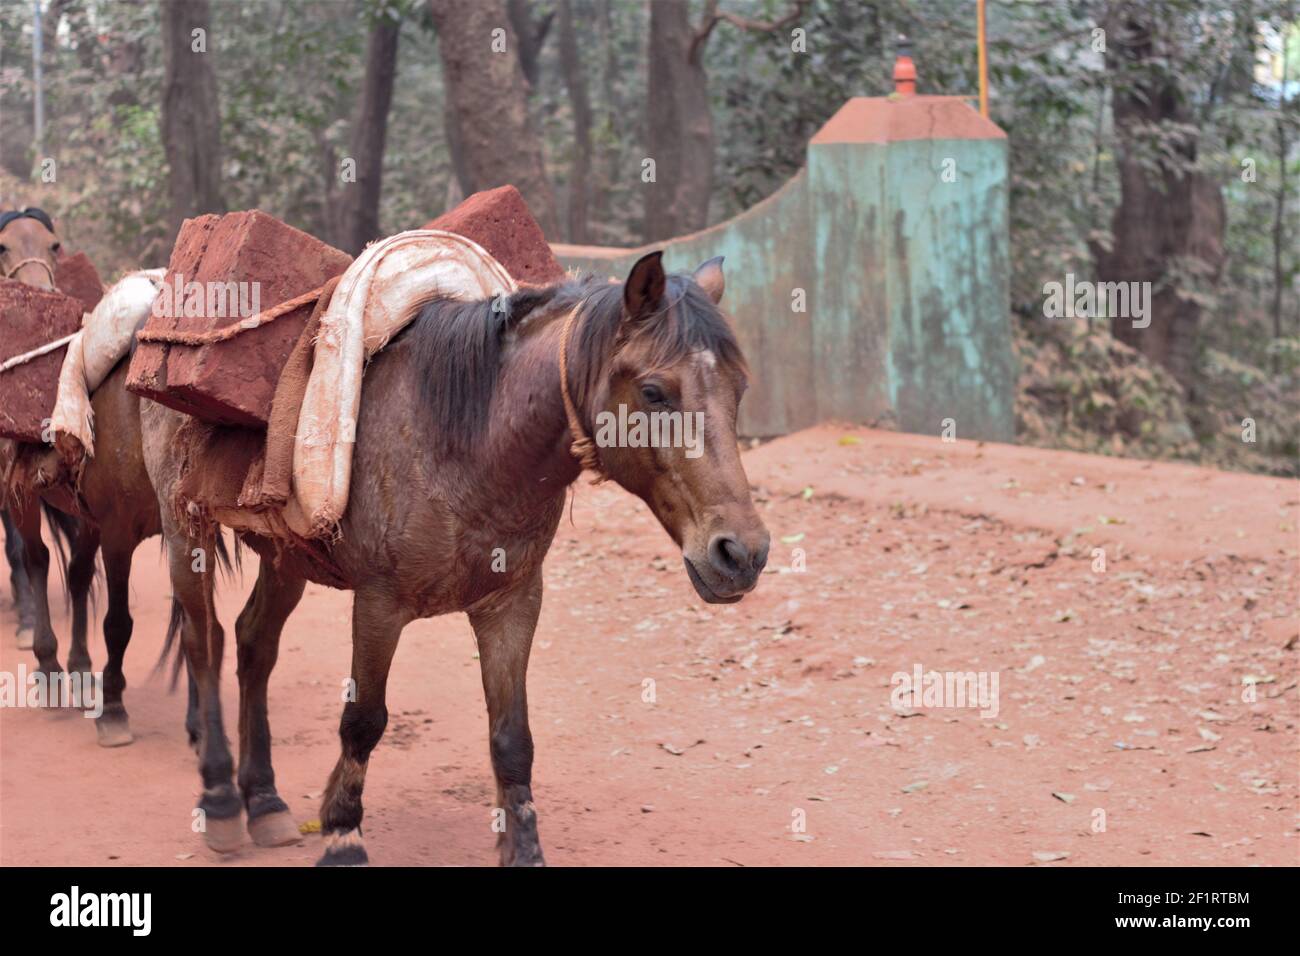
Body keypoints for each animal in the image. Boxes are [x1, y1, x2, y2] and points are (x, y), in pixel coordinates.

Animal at [143, 250, 769, 863]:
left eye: (740, 389)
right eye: (655, 392)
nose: (743, 553)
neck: (466, 444)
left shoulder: (512, 603)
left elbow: (512, 737)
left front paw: (523, 850)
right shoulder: (379, 605)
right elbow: (363, 721)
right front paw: (343, 835)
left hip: (285, 555)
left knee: (254, 643)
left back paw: (265, 801)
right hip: (185, 532)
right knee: (204, 645)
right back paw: (222, 801)